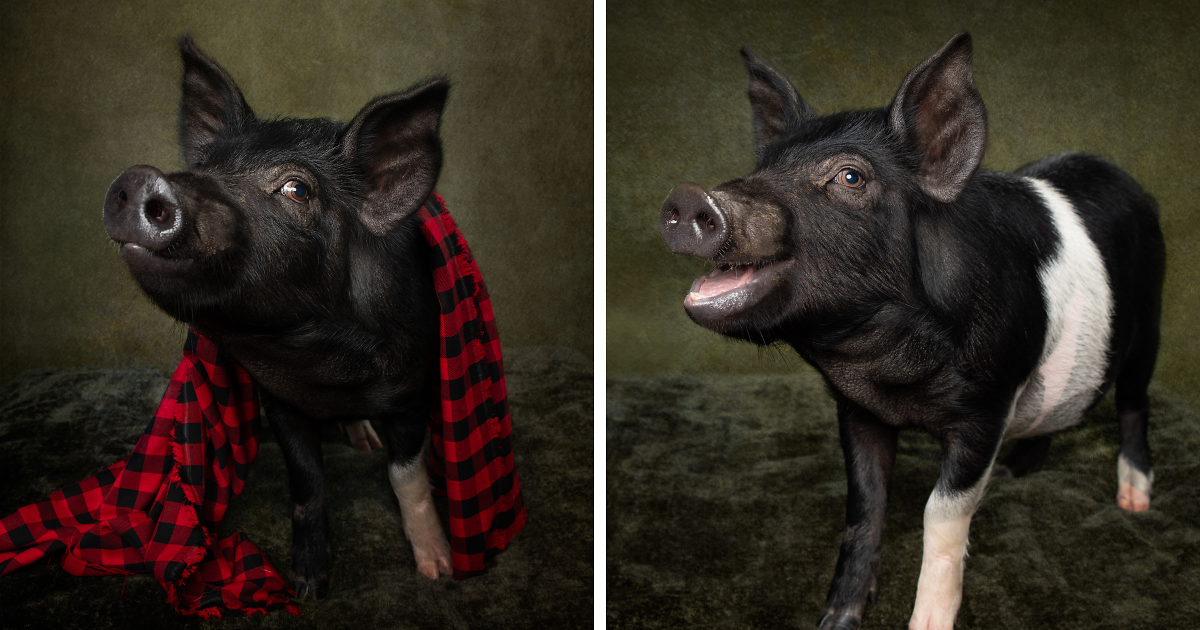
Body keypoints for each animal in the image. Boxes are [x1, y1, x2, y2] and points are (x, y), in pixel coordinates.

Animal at [102, 37, 454, 599]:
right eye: (203, 165)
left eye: (297, 190)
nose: (139, 178)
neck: (319, 366)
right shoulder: (279, 400)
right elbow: (307, 480)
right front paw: (307, 587)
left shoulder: (412, 386)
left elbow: (406, 476)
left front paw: (439, 572)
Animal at [658, 33, 1164, 630]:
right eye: (764, 165)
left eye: (850, 177)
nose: (689, 197)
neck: (890, 372)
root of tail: (1124, 176)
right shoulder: (856, 407)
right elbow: (864, 505)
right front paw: (837, 619)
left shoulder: (987, 402)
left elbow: (939, 515)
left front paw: (926, 621)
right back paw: (1013, 471)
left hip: (1150, 319)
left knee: (1134, 402)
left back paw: (1134, 502)